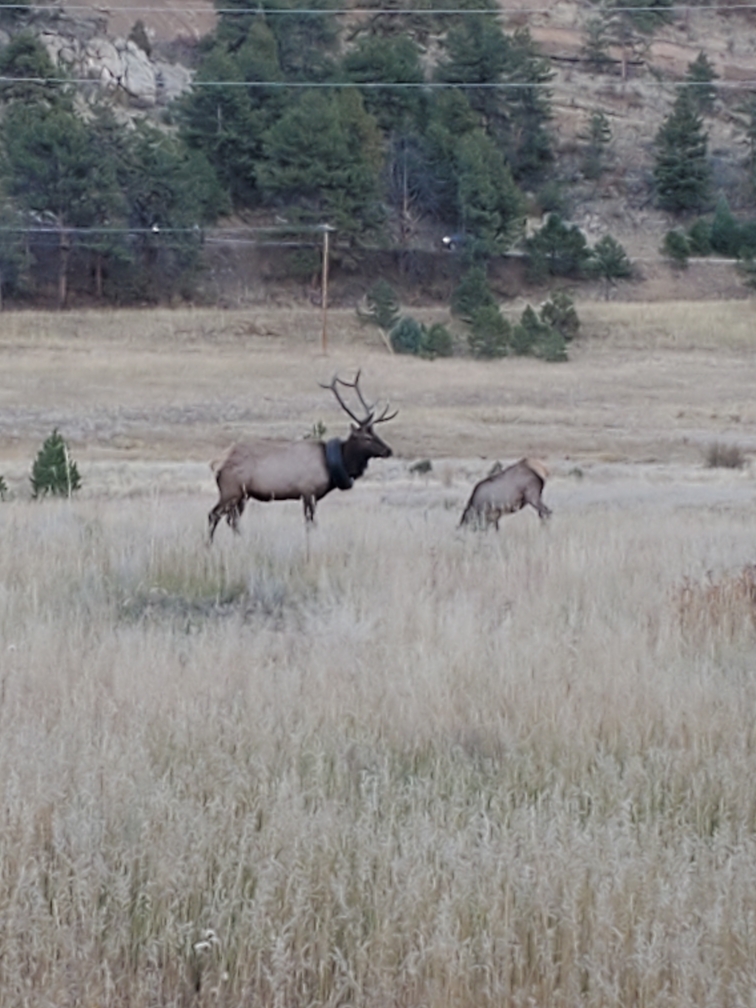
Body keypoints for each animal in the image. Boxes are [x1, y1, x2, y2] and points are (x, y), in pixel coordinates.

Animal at [208, 372, 397, 542]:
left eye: (375, 433)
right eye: (367, 438)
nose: (388, 450)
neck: (330, 467)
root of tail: (216, 463)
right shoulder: (308, 491)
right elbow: (310, 524)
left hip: (242, 495)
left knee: (232, 520)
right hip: (231, 490)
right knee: (213, 515)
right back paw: (209, 546)